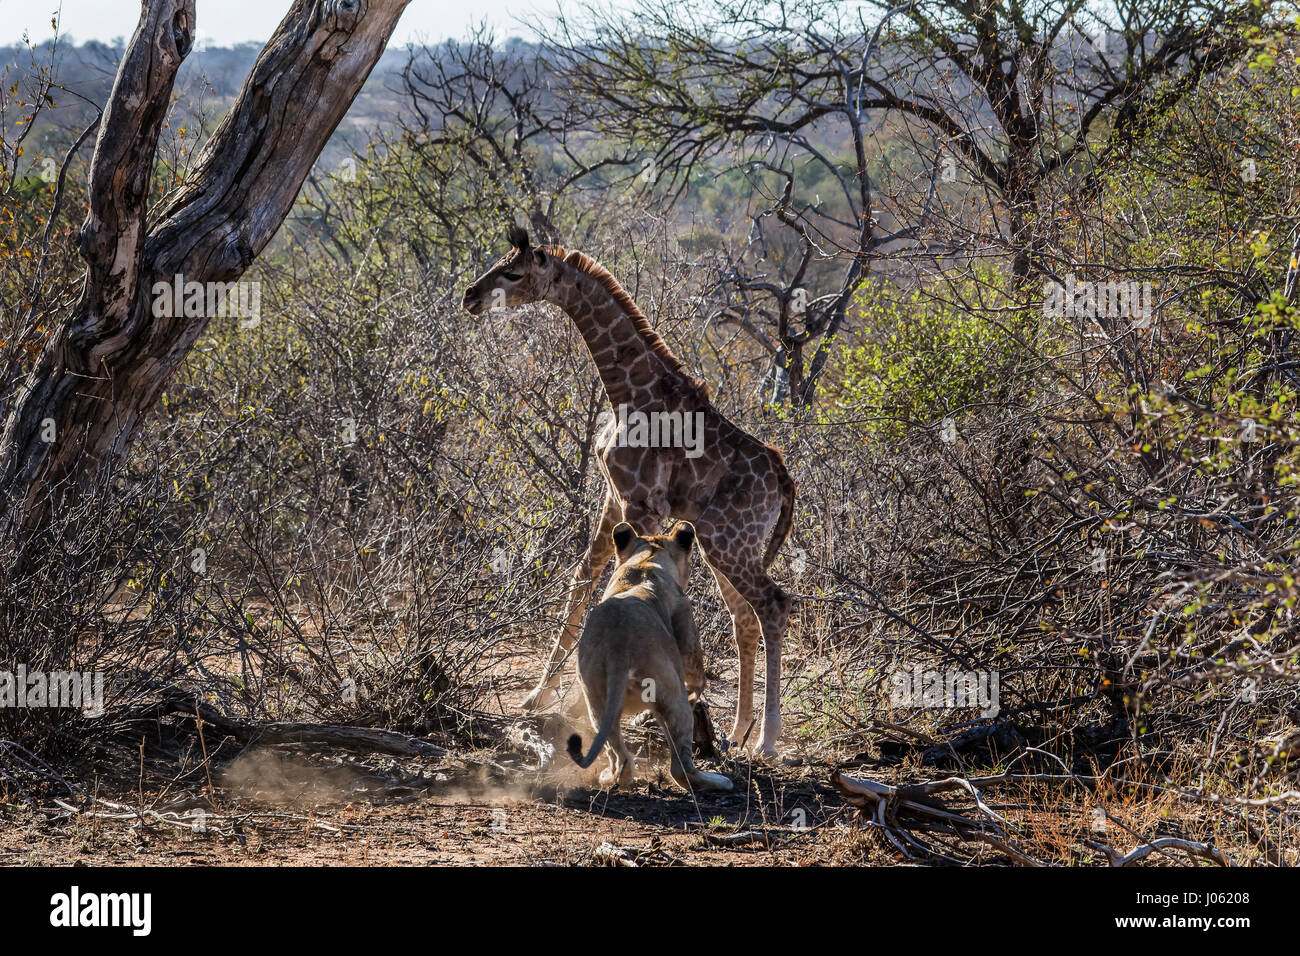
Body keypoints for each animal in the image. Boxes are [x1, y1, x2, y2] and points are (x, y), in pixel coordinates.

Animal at [461, 226, 795, 757]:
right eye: (498, 262)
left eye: (512, 273)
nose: (470, 296)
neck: (627, 391)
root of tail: (784, 478)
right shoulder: (613, 497)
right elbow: (581, 581)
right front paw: (537, 696)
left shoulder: (643, 504)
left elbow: (623, 582)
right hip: (723, 543)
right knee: (745, 614)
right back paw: (739, 730)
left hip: (731, 541)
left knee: (774, 606)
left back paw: (766, 739)